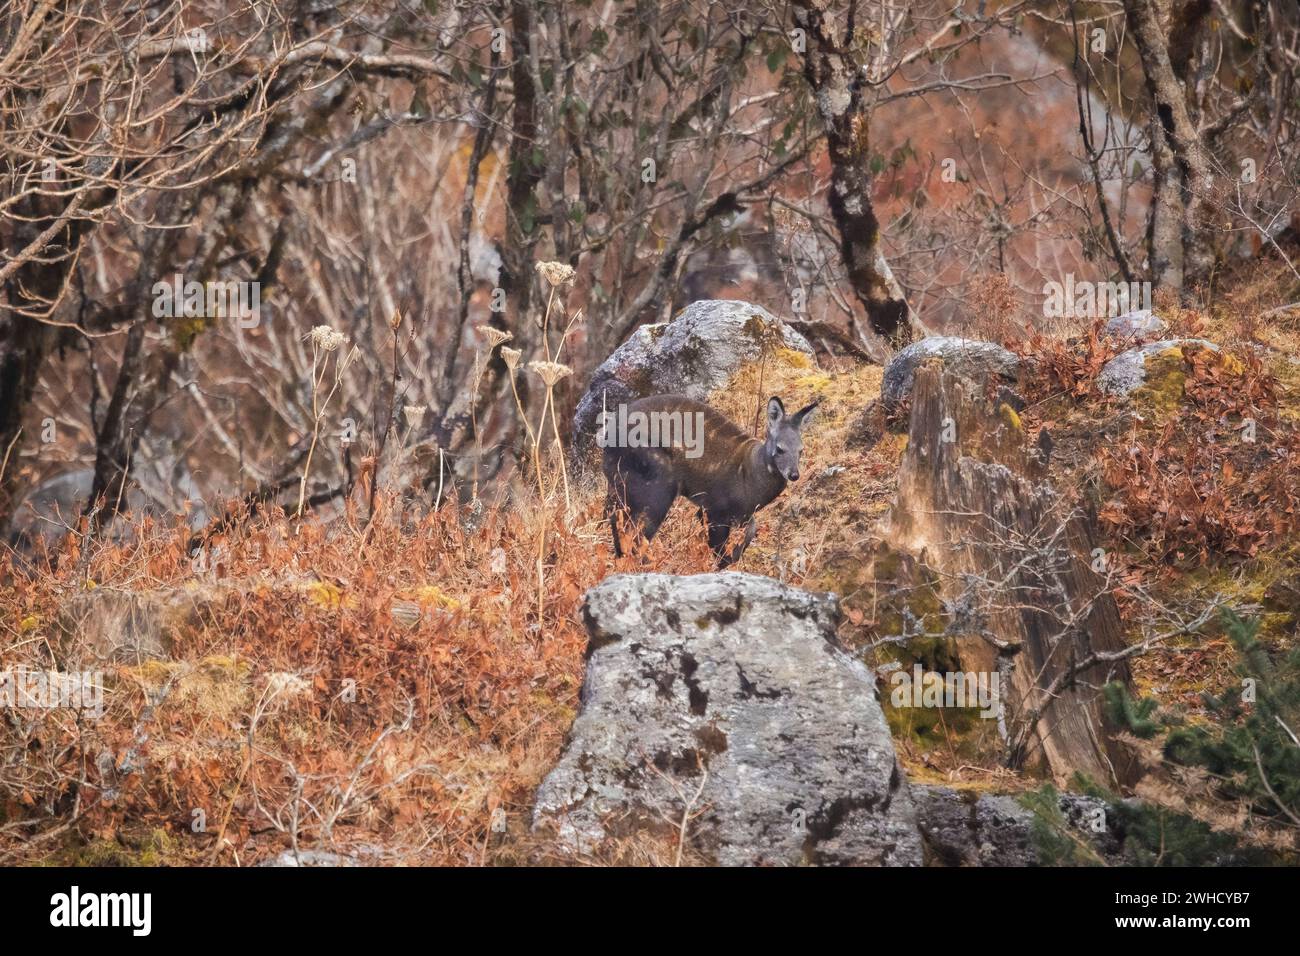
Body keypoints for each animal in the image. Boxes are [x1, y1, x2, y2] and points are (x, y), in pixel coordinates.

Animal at [601, 393, 818, 567]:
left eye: (801, 450)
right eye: (780, 448)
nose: (794, 474)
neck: (750, 477)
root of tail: (608, 441)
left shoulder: (732, 513)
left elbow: (750, 531)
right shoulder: (716, 508)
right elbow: (717, 547)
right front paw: (723, 564)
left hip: (622, 485)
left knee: (616, 520)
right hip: (656, 485)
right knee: (639, 533)